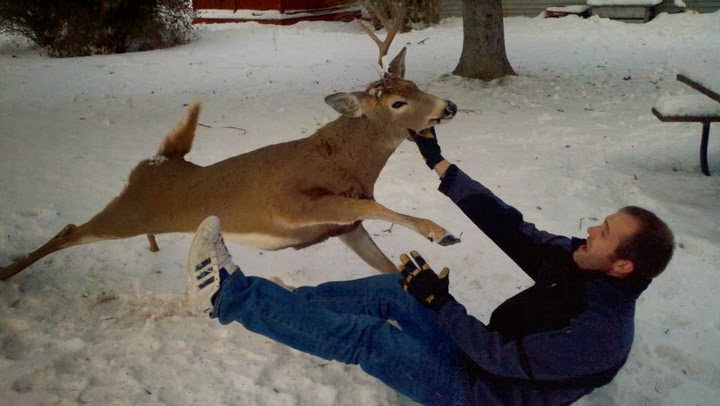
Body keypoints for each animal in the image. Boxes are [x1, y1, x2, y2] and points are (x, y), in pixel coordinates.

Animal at [0, 1, 459, 282]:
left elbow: (385, 262)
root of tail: (158, 163)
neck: (347, 163)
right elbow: (370, 205)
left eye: (415, 85)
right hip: (126, 212)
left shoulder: (345, 229)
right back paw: (8, 274)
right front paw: (440, 232)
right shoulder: (288, 202)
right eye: (398, 102)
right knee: (70, 229)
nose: (449, 106)